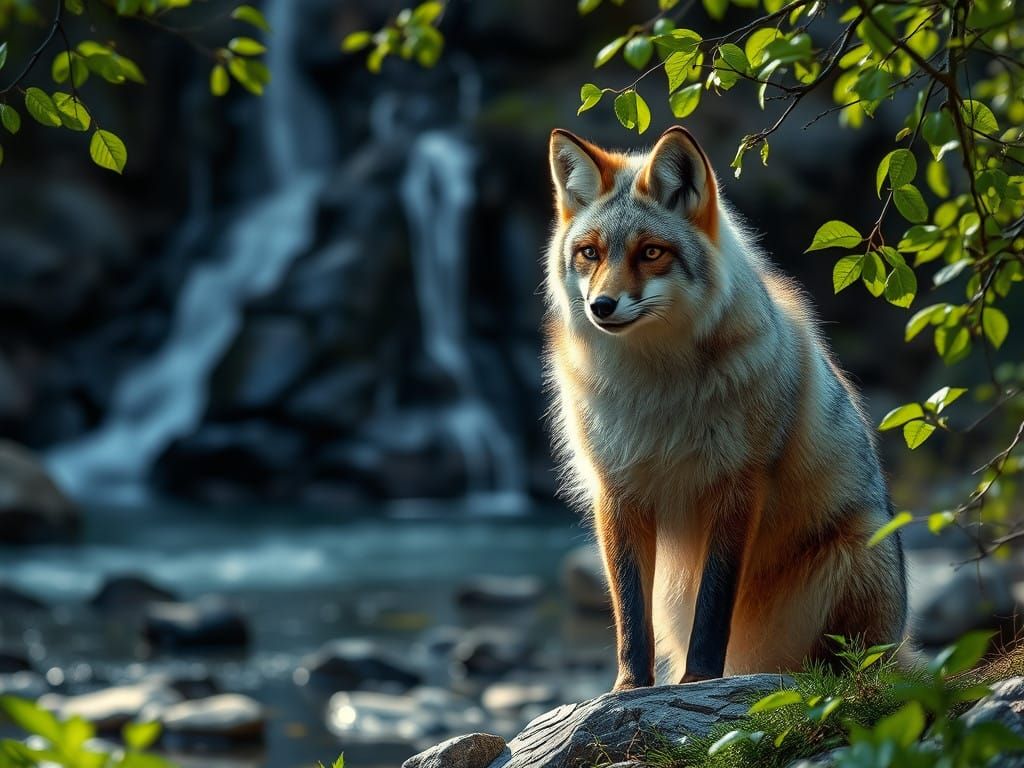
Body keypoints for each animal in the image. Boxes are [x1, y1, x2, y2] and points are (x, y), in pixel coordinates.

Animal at [544, 125, 908, 690]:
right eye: (589, 252)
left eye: (651, 252)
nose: (601, 306)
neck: (659, 395)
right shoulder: (618, 488)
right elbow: (629, 608)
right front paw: (629, 687)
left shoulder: (738, 482)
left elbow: (714, 602)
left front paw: (698, 680)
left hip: (853, 559)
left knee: (848, 670)